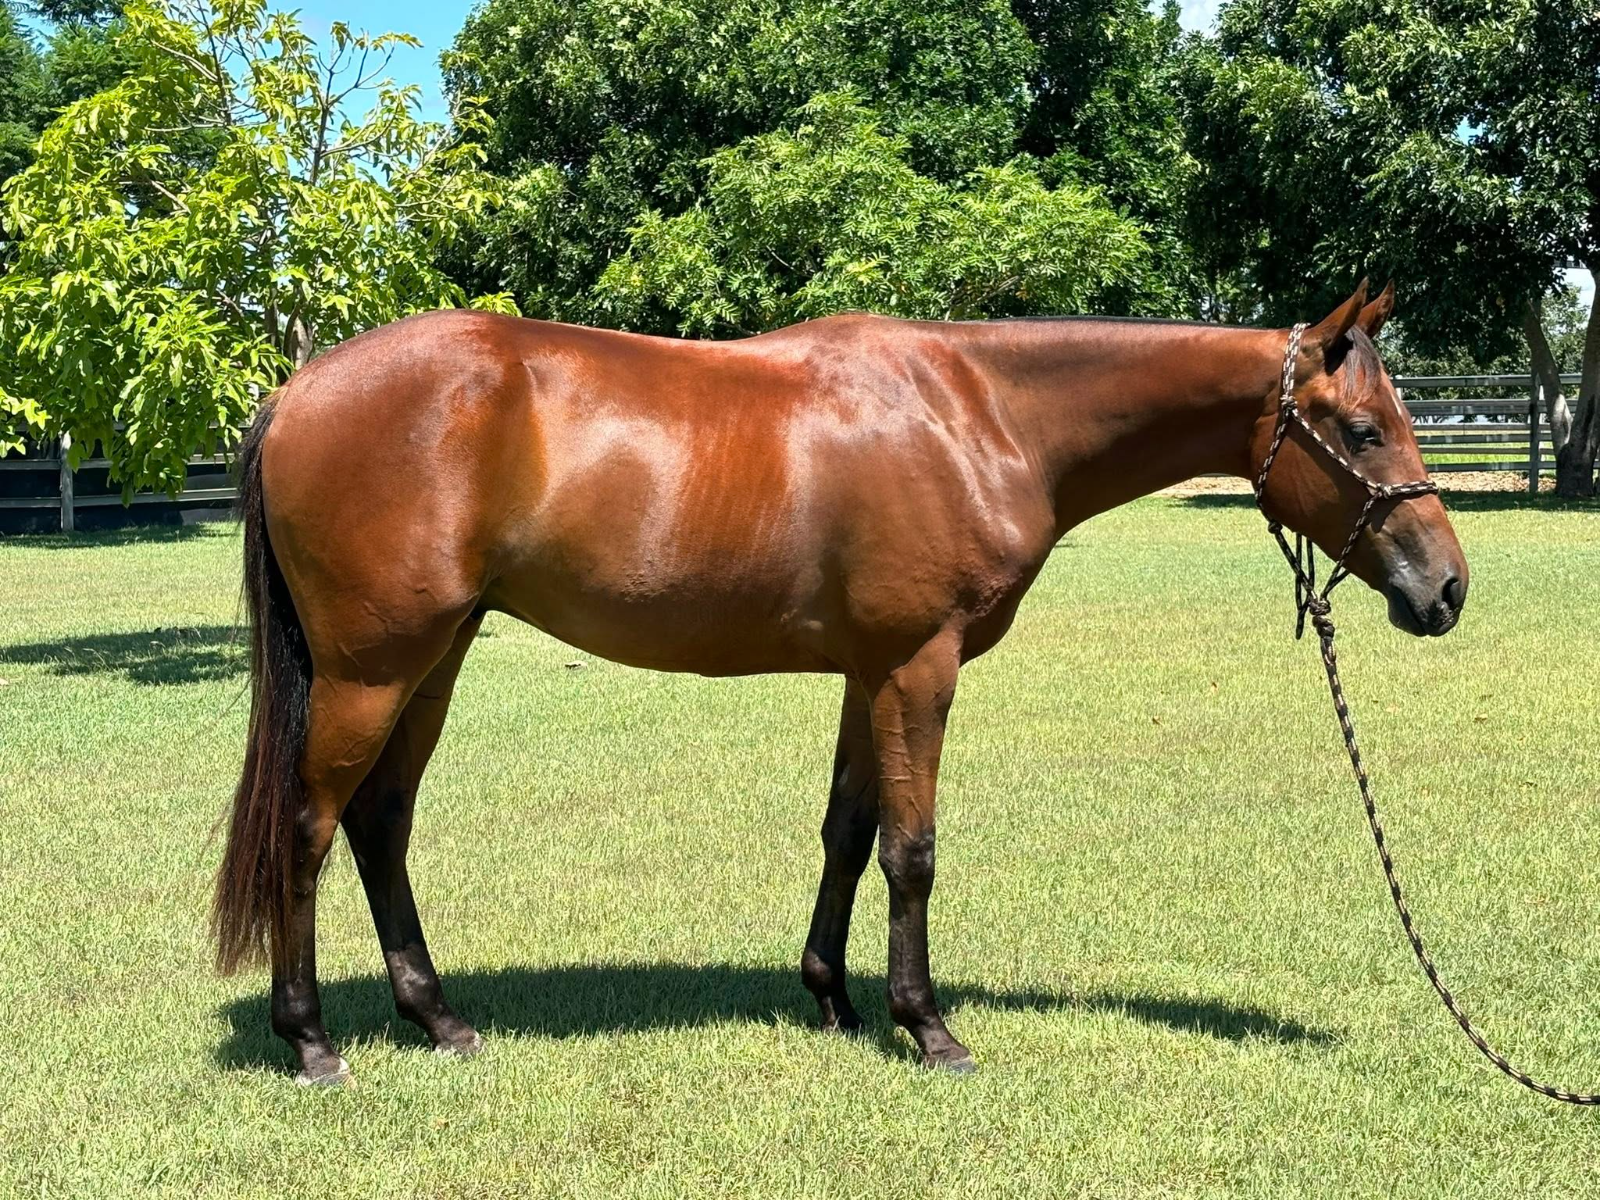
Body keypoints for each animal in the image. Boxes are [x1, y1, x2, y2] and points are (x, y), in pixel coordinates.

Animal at [213, 279, 1468, 1085]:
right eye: (1362, 429)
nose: (1446, 588)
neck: (982, 411)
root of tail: (296, 390)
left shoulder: (870, 670)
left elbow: (847, 832)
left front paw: (830, 995)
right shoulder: (918, 664)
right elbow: (911, 850)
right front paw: (929, 1029)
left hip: (435, 657)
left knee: (379, 823)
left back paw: (439, 1021)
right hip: (373, 669)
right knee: (310, 828)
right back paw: (311, 1041)